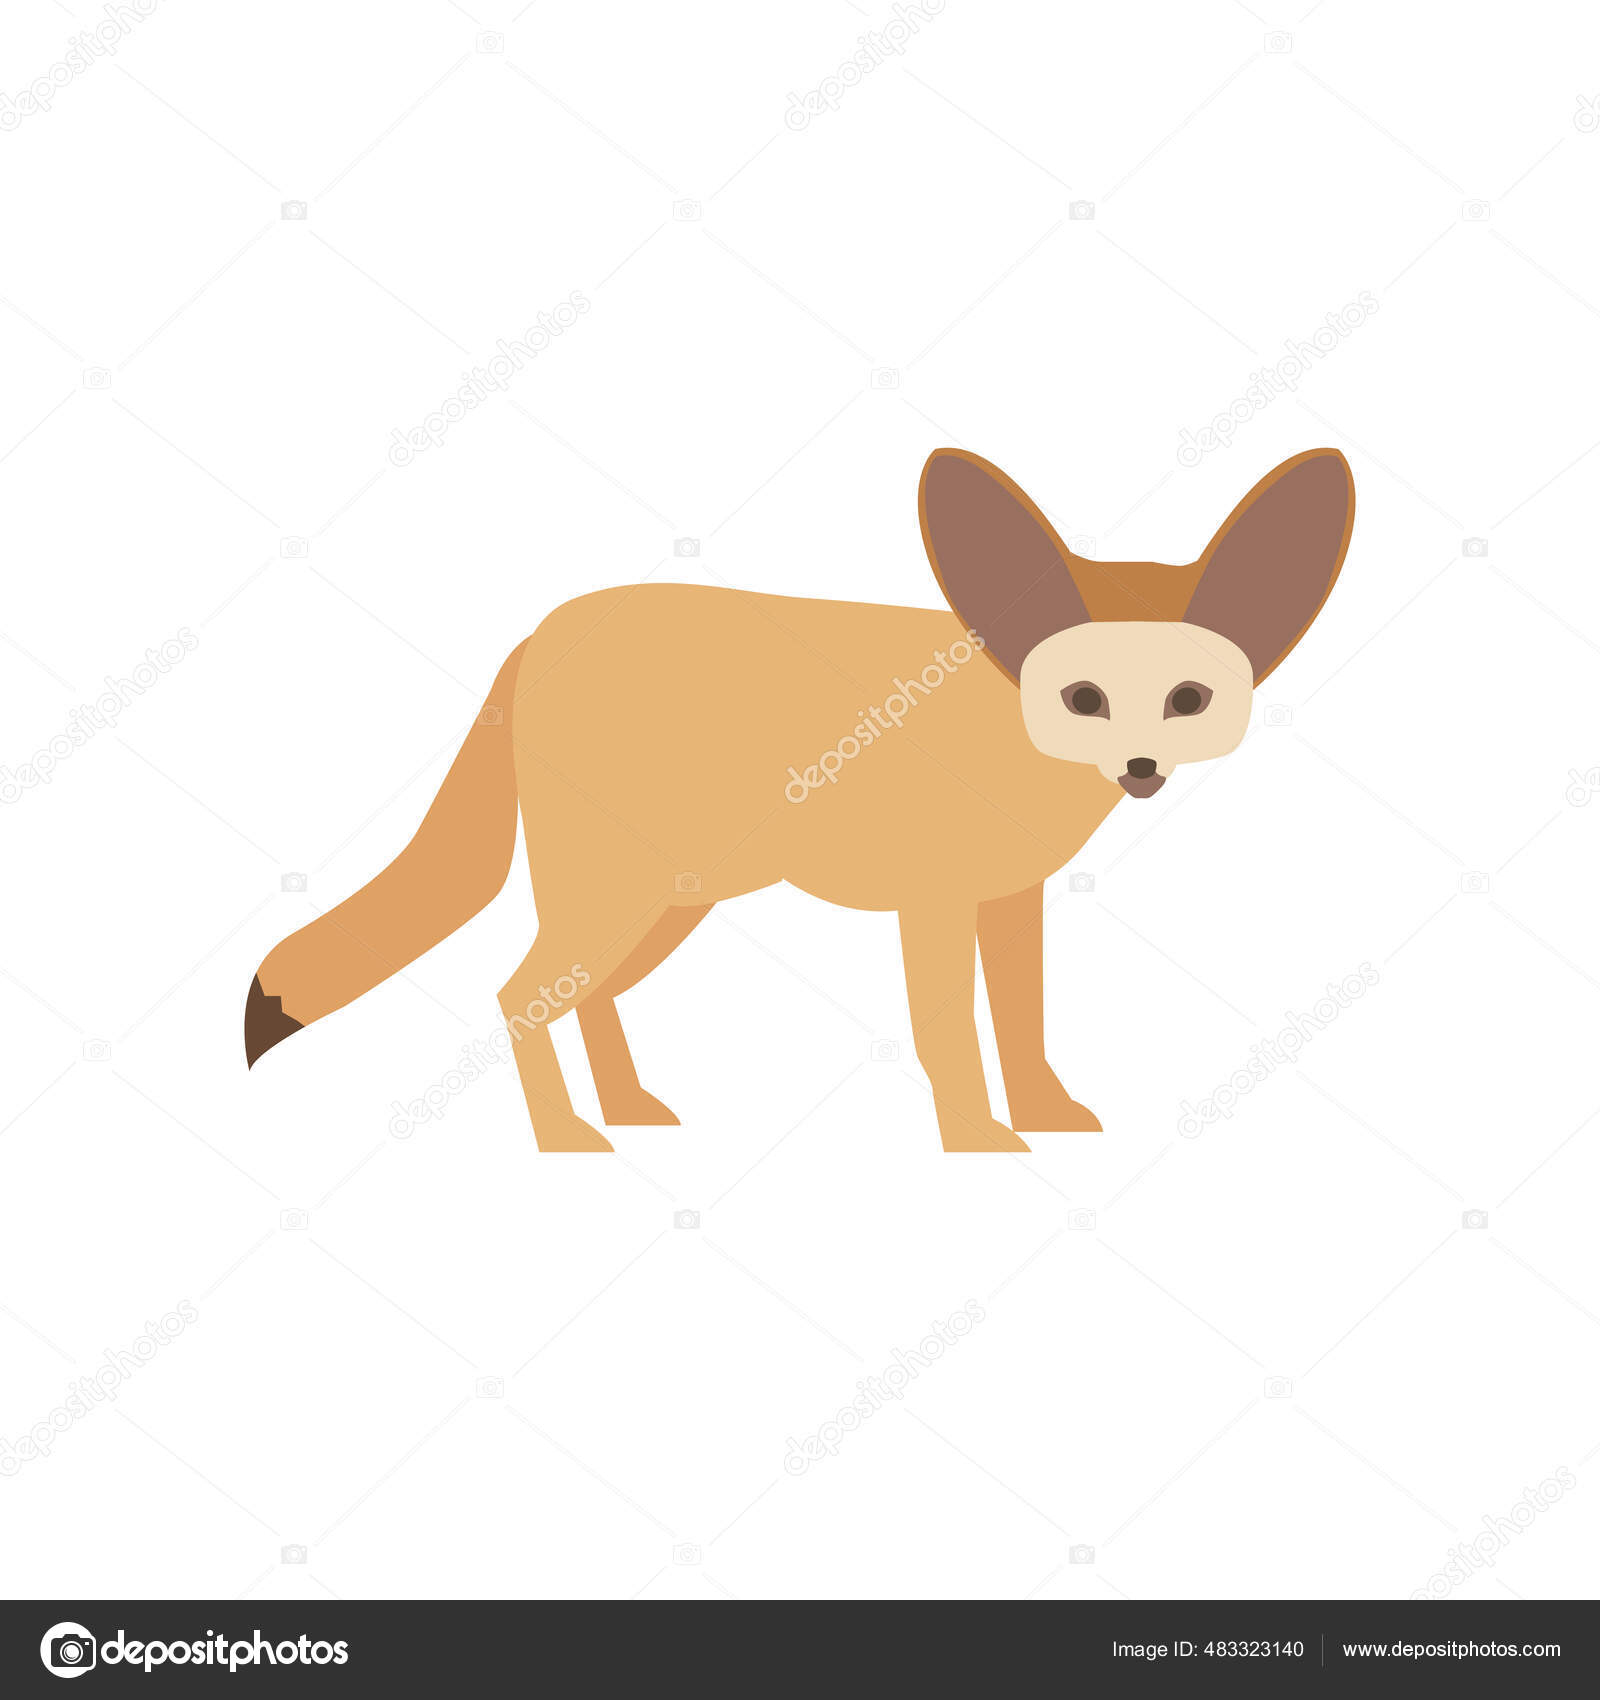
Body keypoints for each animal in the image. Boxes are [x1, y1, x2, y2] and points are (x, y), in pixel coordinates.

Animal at [246, 445, 1354, 1154]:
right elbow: (951, 1032)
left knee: (585, 993)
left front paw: (1044, 1113)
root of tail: (537, 633)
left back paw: (626, 1109)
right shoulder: (932, 902)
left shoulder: (1009, 901)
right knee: (521, 991)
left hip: (666, 902)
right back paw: (564, 1138)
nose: (1139, 766)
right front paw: (975, 1139)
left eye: (1187, 699)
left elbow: (1023, 1018)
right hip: (617, 894)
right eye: (1083, 698)